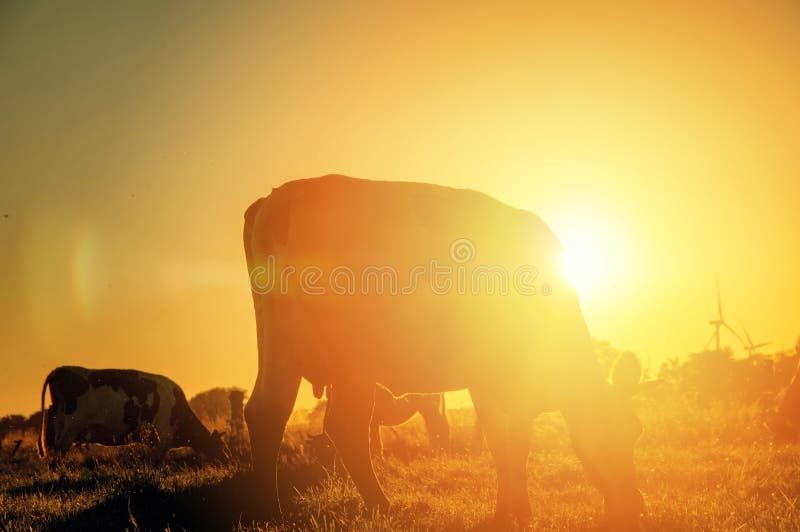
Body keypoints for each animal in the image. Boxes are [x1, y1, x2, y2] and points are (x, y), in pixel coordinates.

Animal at [38, 366, 229, 463]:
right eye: (220, 445)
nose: (228, 459)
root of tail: (58, 370)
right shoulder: (163, 437)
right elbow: (157, 462)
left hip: (59, 419)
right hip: (72, 423)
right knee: (60, 448)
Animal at [243, 175, 644, 526]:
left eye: (637, 431)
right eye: (623, 432)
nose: (636, 504)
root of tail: (281, 196)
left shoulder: (488, 382)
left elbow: (502, 443)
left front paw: (509, 510)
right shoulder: (507, 379)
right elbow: (513, 443)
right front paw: (517, 512)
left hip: (279, 339)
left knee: (266, 411)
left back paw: (268, 512)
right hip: (352, 359)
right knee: (346, 426)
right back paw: (382, 505)